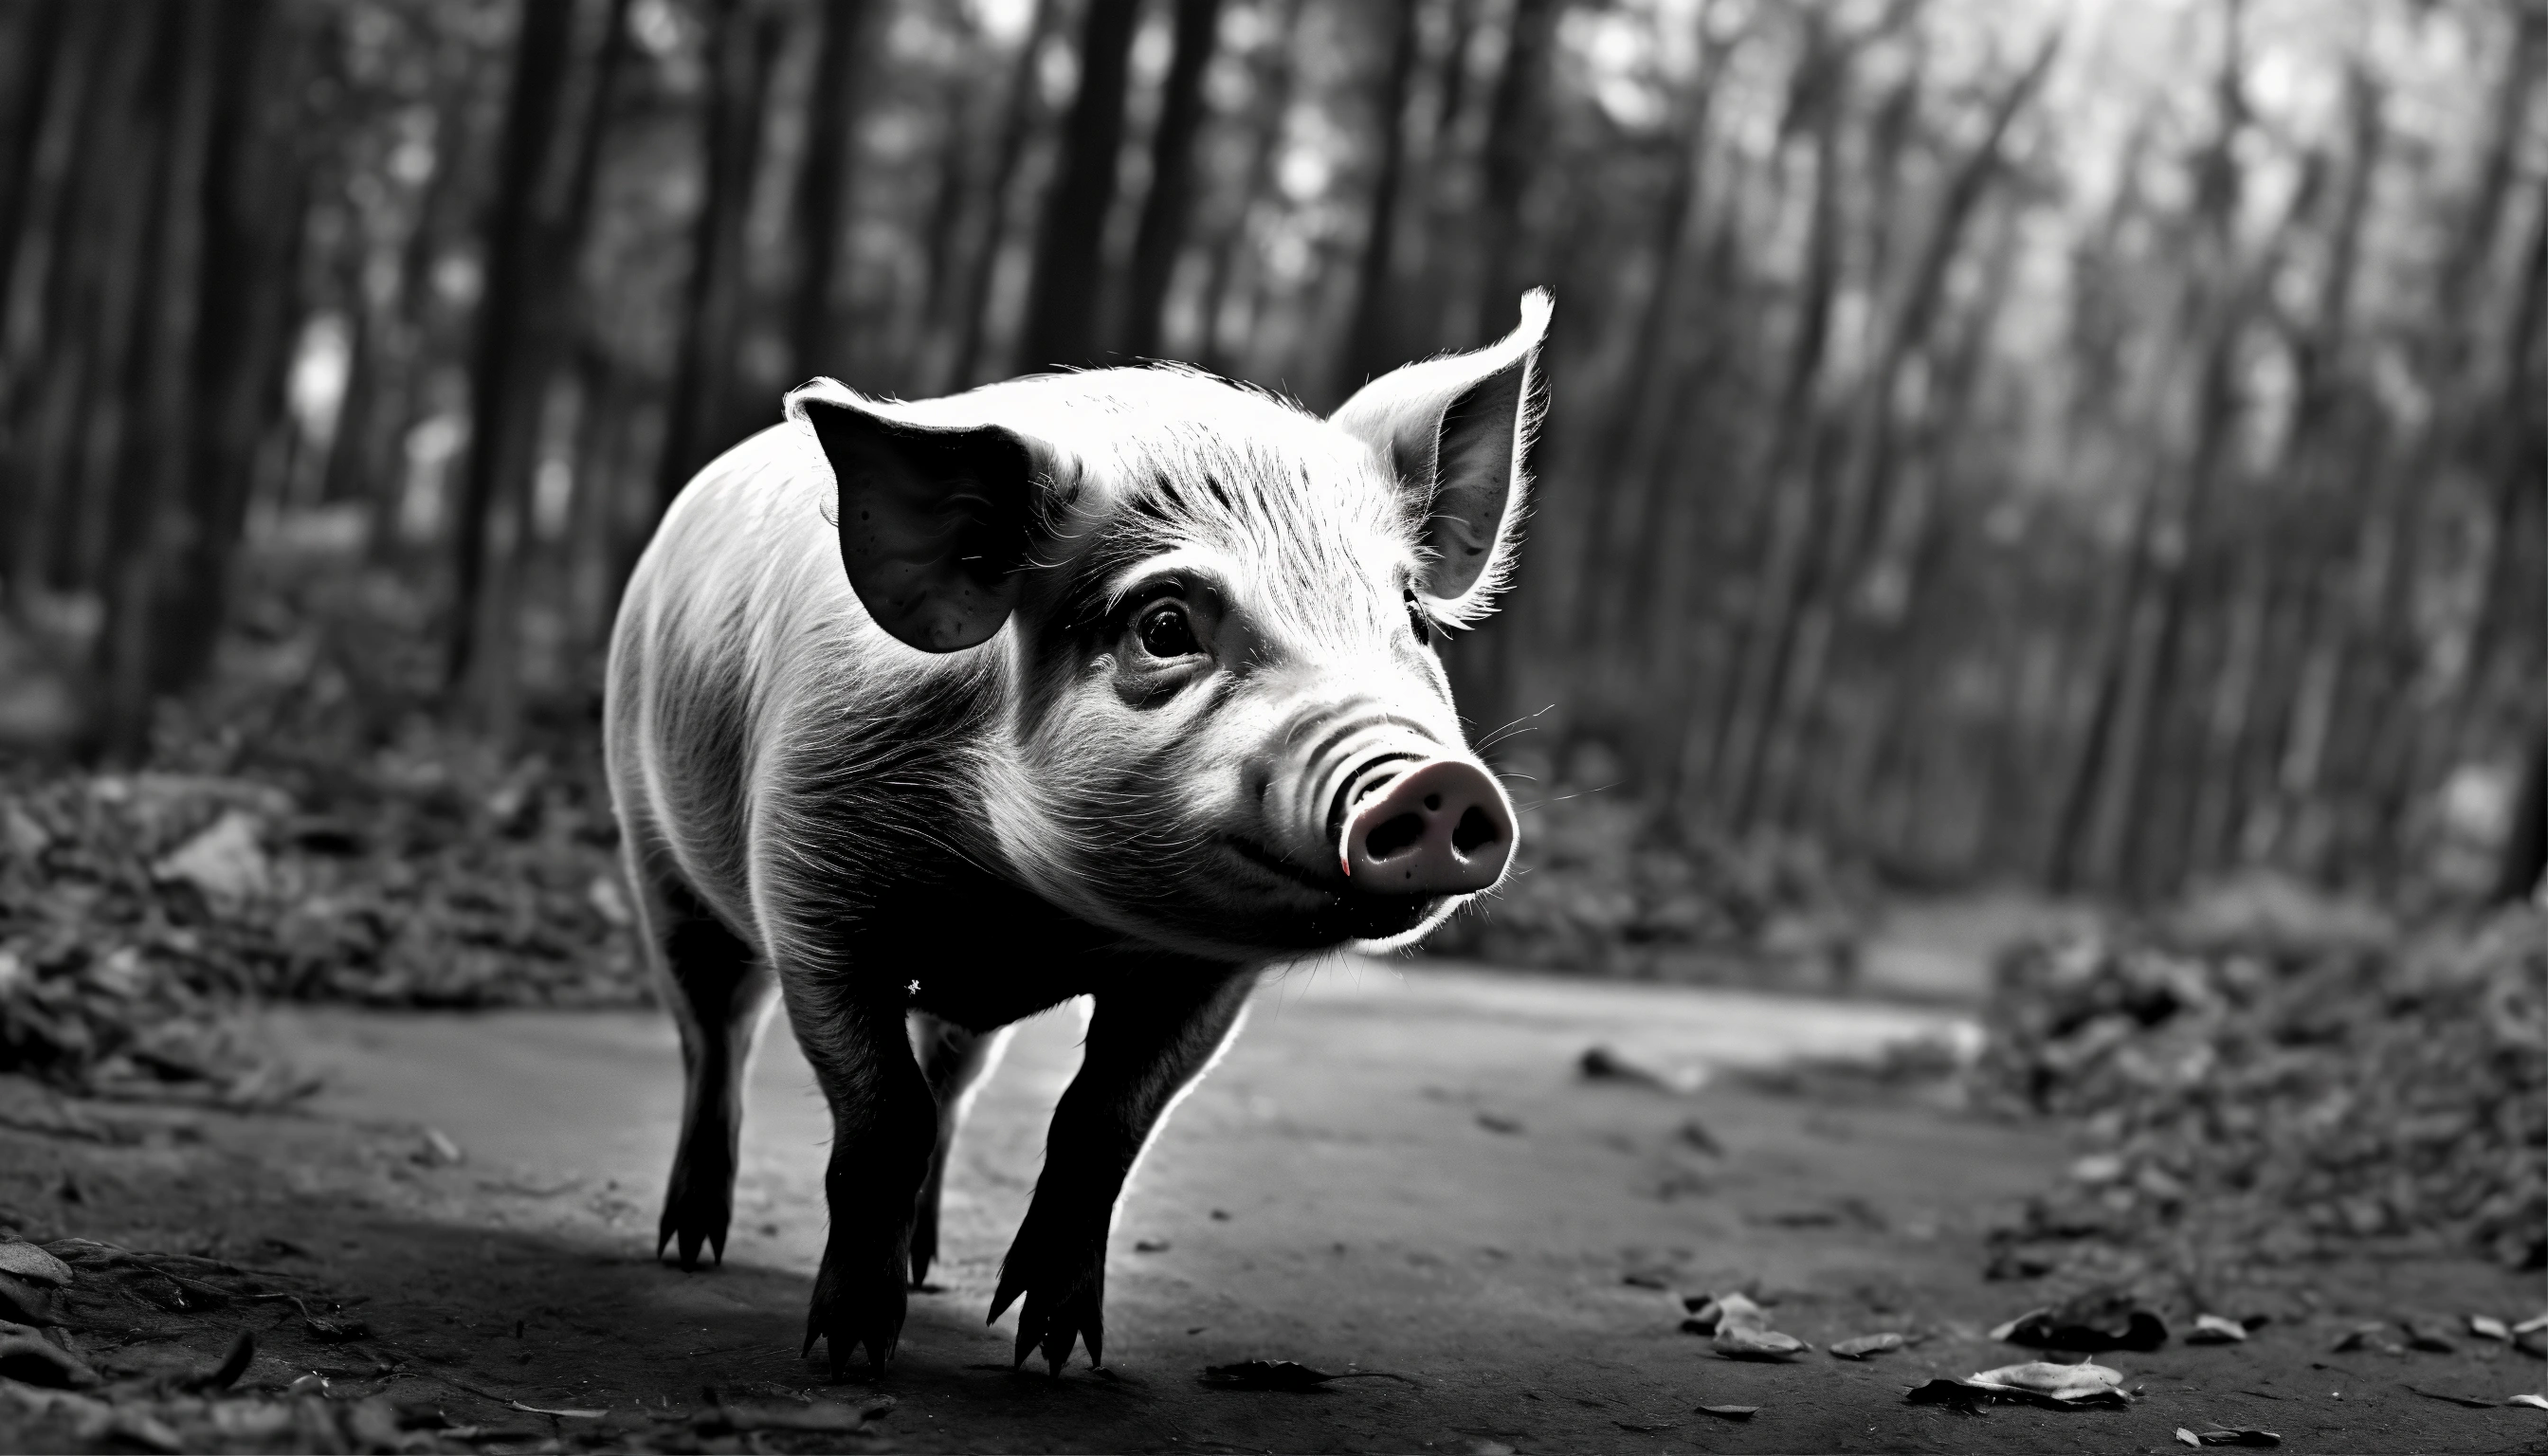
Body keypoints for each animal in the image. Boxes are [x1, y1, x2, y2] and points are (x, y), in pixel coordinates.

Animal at [603, 291, 1551, 1378]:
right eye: (1165, 625)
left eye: (1414, 618)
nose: (1437, 780)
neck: (1034, 917)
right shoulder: (811, 878)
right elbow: (881, 1114)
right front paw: (847, 1353)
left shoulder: (1206, 977)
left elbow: (1104, 1122)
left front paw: (1053, 1357)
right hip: (658, 858)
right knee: (713, 1036)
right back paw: (689, 1248)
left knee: (952, 1081)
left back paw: (928, 1272)